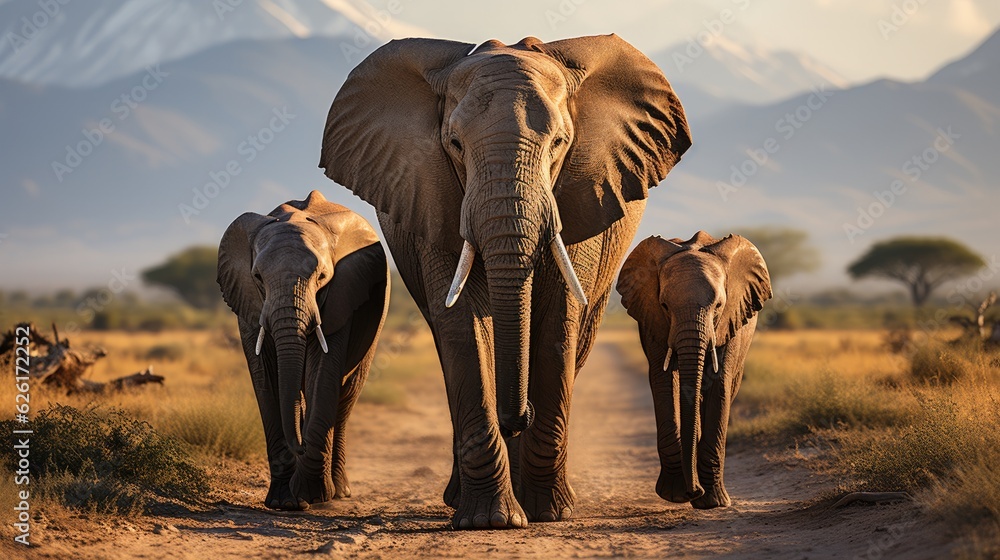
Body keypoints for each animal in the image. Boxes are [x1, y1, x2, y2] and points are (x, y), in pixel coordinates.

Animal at [217, 190, 389, 510]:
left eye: (322, 277)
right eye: (257, 277)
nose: (300, 445)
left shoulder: (342, 293)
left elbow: (322, 372)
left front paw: (310, 496)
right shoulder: (248, 301)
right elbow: (266, 378)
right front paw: (284, 501)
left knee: (345, 396)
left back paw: (339, 491)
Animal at [319, 35, 690, 528]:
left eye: (560, 143)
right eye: (455, 144)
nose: (519, 417)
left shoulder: (582, 196)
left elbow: (556, 323)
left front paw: (548, 513)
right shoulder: (433, 199)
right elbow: (462, 328)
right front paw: (489, 519)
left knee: (578, 340)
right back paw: (467, 497)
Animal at [616, 231, 771, 509]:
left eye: (719, 306)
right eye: (665, 305)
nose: (693, 492)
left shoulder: (731, 320)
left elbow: (719, 384)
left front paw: (712, 502)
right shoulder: (652, 320)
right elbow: (663, 380)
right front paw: (675, 495)